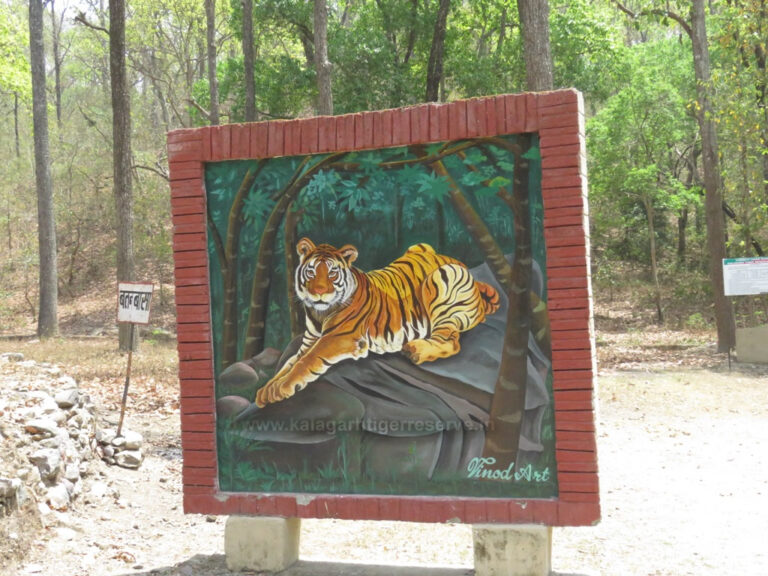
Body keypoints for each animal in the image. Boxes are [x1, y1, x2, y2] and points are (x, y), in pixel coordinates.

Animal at [255, 237, 500, 407]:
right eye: (312, 271)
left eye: (332, 273)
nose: (319, 293)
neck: (319, 313)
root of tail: (456, 261)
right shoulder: (308, 341)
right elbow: (289, 363)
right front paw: (267, 389)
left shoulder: (338, 338)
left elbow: (306, 362)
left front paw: (282, 388)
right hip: (420, 246)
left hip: (443, 278)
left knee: (451, 341)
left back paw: (415, 350)